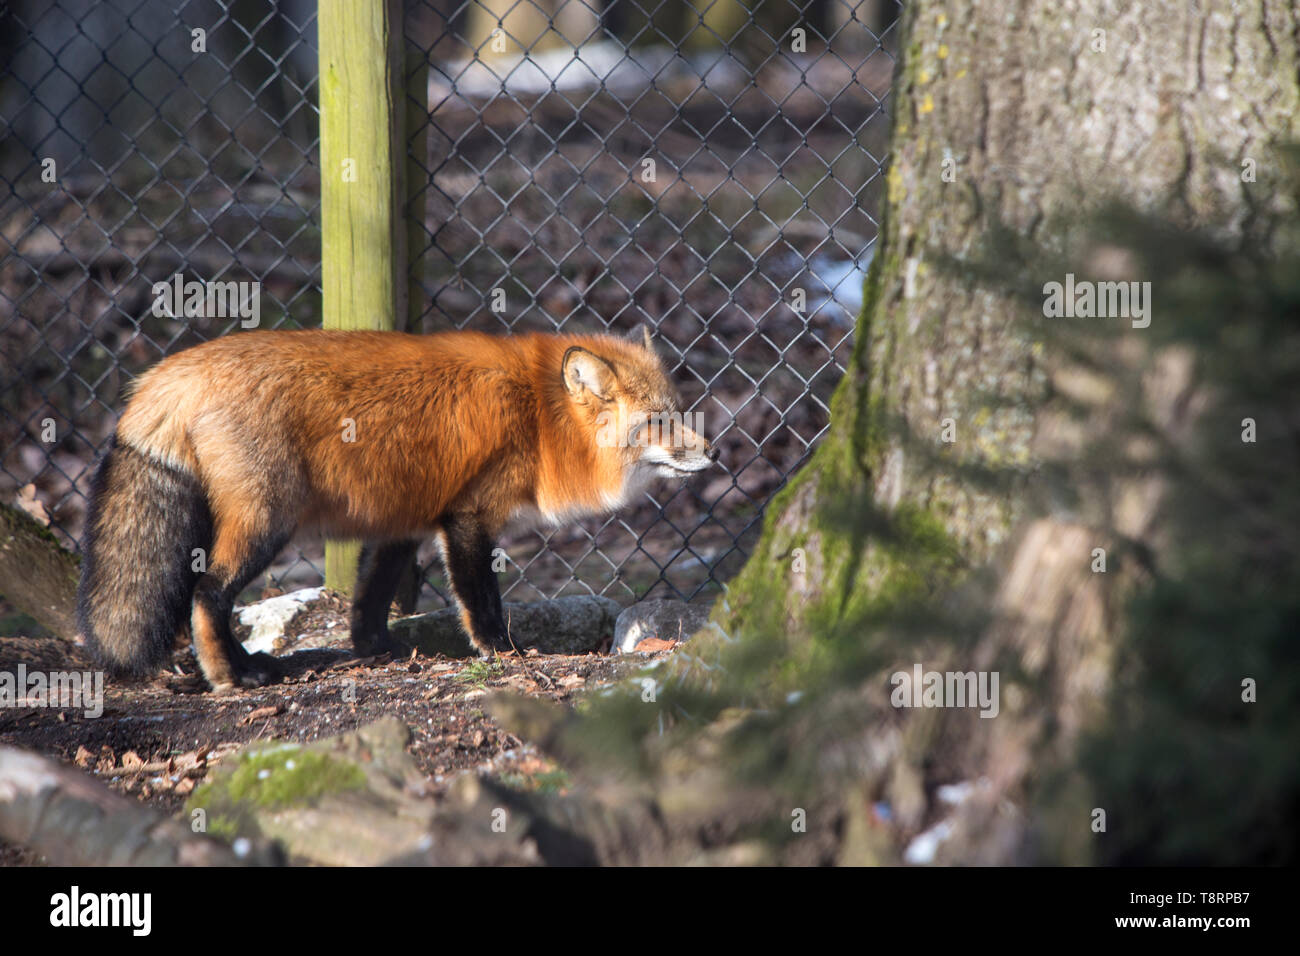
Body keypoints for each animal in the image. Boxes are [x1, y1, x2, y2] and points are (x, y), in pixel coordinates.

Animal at [76, 326, 717, 692]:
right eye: (660, 422)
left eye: (679, 412)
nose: (714, 451)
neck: (538, 414)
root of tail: (166, 374)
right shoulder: (467, 517)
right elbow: (480, 599)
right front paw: (502, 653)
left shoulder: (403, 521)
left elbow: (370, 599)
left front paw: (375, 652)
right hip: (267, 523)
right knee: (207, 593)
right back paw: (229, 677)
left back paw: (254, 664)